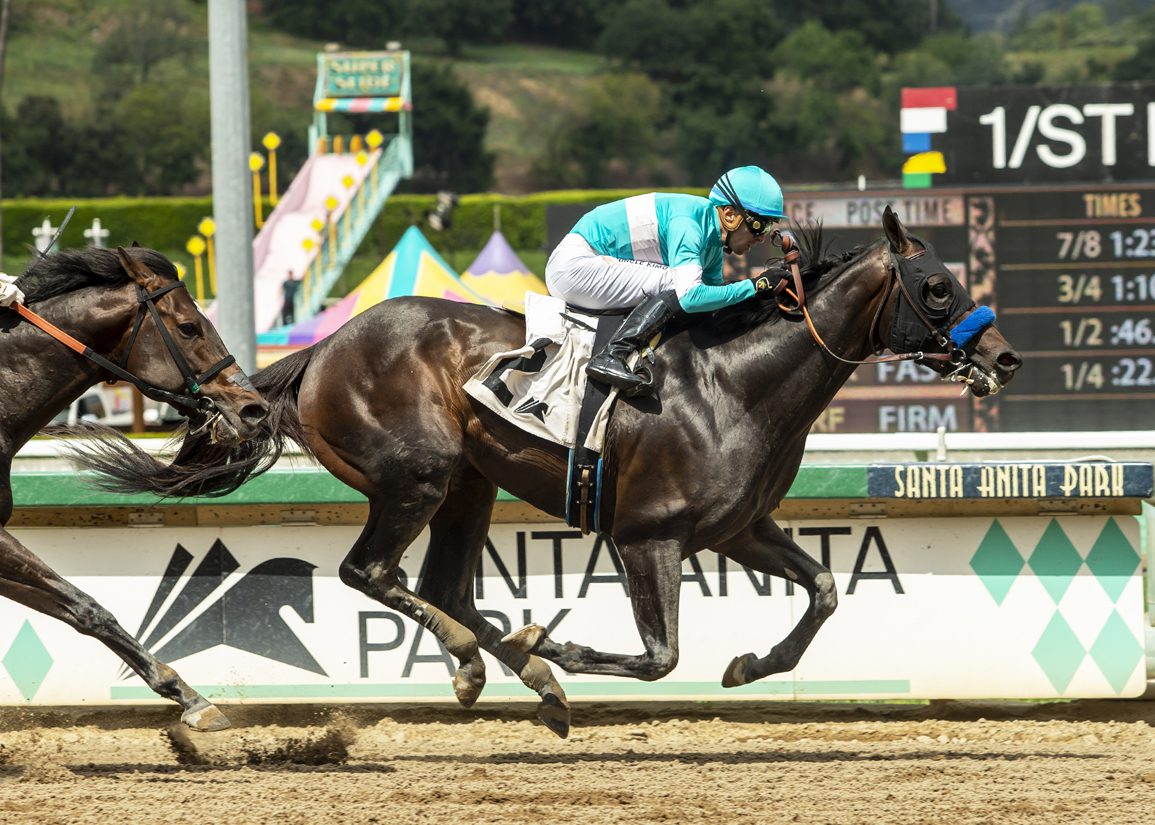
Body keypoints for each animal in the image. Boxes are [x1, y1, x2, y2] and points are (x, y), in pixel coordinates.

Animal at [67, 208, 1023, 738]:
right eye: (937, 286)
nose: (1004, 358)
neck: (735, 382)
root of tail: (318, 350)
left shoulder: (737, 528)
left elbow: (823, 588)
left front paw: (751, 662)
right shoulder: (647, 537)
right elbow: (659, 655)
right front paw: (555, 641)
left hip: (469, 483)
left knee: (443, 587)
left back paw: (525, 675)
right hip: (419, 474)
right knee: (371, 572)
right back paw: (486, 662)